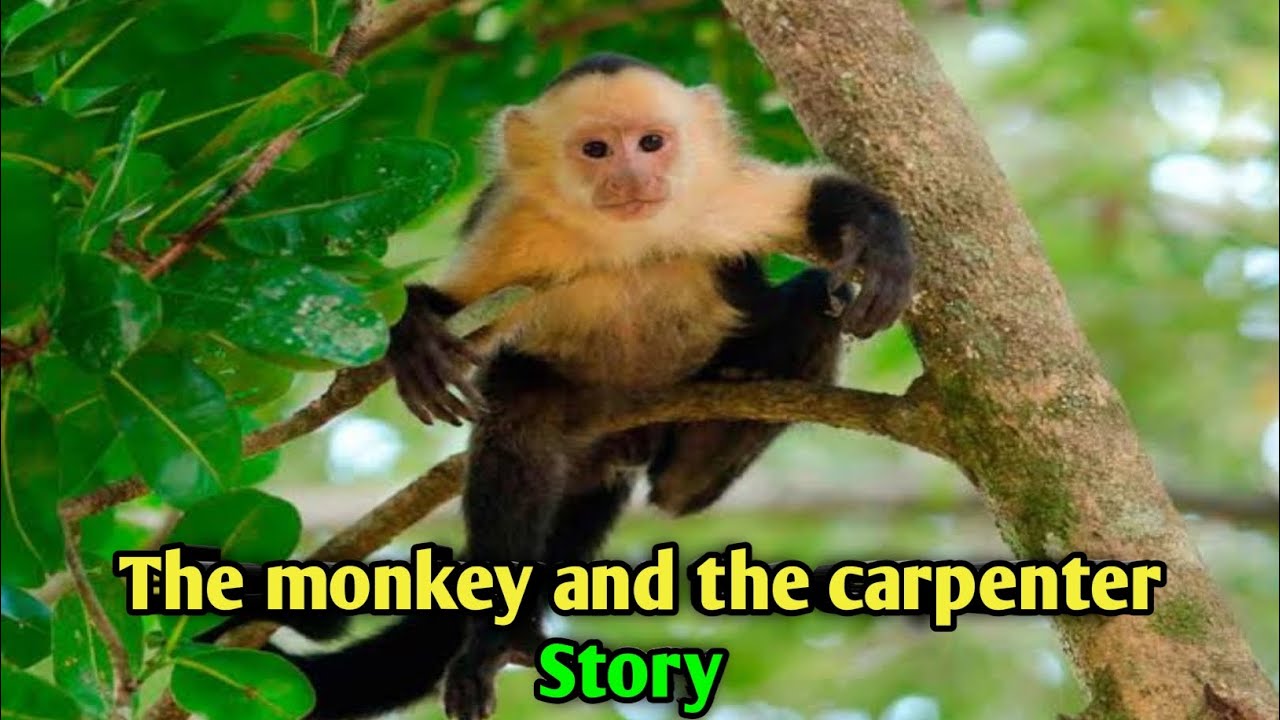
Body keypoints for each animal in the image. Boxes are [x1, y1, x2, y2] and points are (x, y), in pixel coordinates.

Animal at [223, 52, 913, 720]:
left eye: (652, 142)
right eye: (596, 150)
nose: (632, 177)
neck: (625, 241)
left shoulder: (711, 198)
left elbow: (817, 205)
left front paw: (878, 240)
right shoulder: (515, 224)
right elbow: (462, 318)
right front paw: (413, 331)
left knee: (701, 460)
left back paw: (716, 434)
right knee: (522, 419)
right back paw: (497, 637)